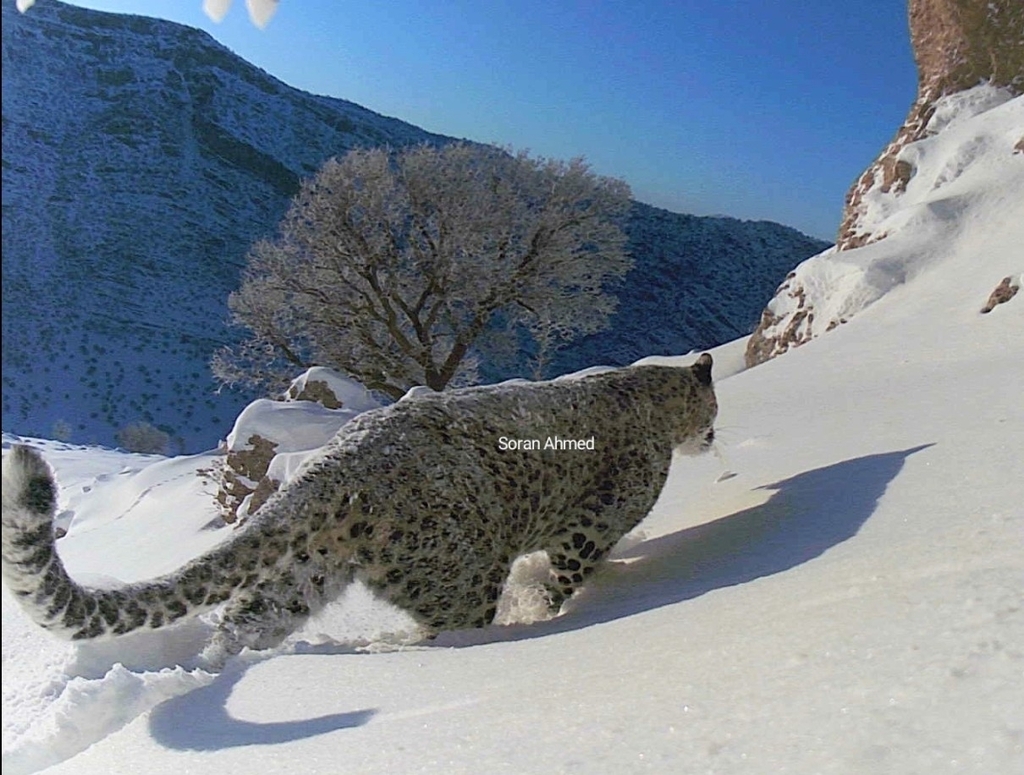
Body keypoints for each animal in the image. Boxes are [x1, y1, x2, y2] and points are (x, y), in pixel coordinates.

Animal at [1, 354, 717, 661]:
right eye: (713, 407)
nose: (714, 435)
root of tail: (341, 460)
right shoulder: (591, 524)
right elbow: (564, 575)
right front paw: (549, 606)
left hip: (298, 575)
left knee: (239, 624)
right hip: (460, 573)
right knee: (452, 626)